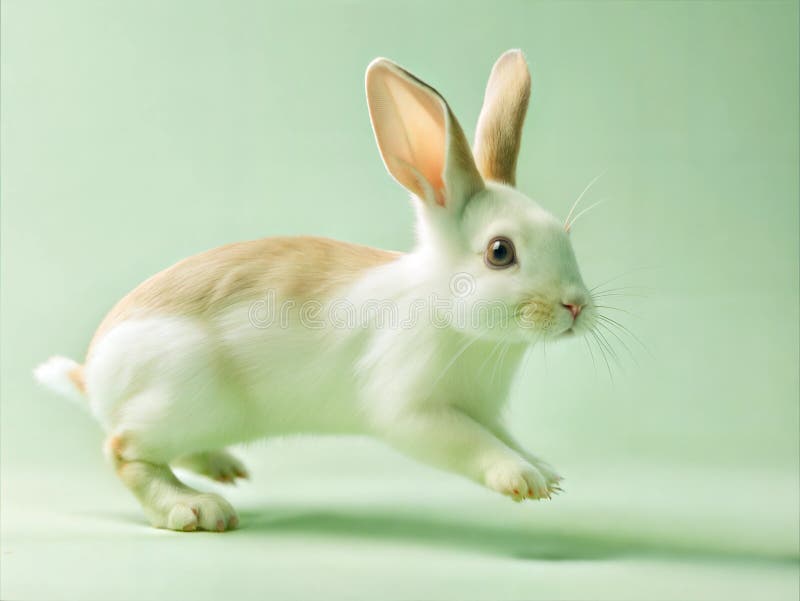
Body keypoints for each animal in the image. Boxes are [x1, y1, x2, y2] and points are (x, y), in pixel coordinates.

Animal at [34, 50, 594, 532]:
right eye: (500, 252)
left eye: (566, 234)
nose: (576, 305)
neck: (445, 310)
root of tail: (93, 375)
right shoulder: (414, 411)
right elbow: (472, 444)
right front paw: (522, 479)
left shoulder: (483, 409)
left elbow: (503, 436)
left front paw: (545, 471)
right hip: (181, 398)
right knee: (124, 451)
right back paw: (196, 508)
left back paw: (222, 467)